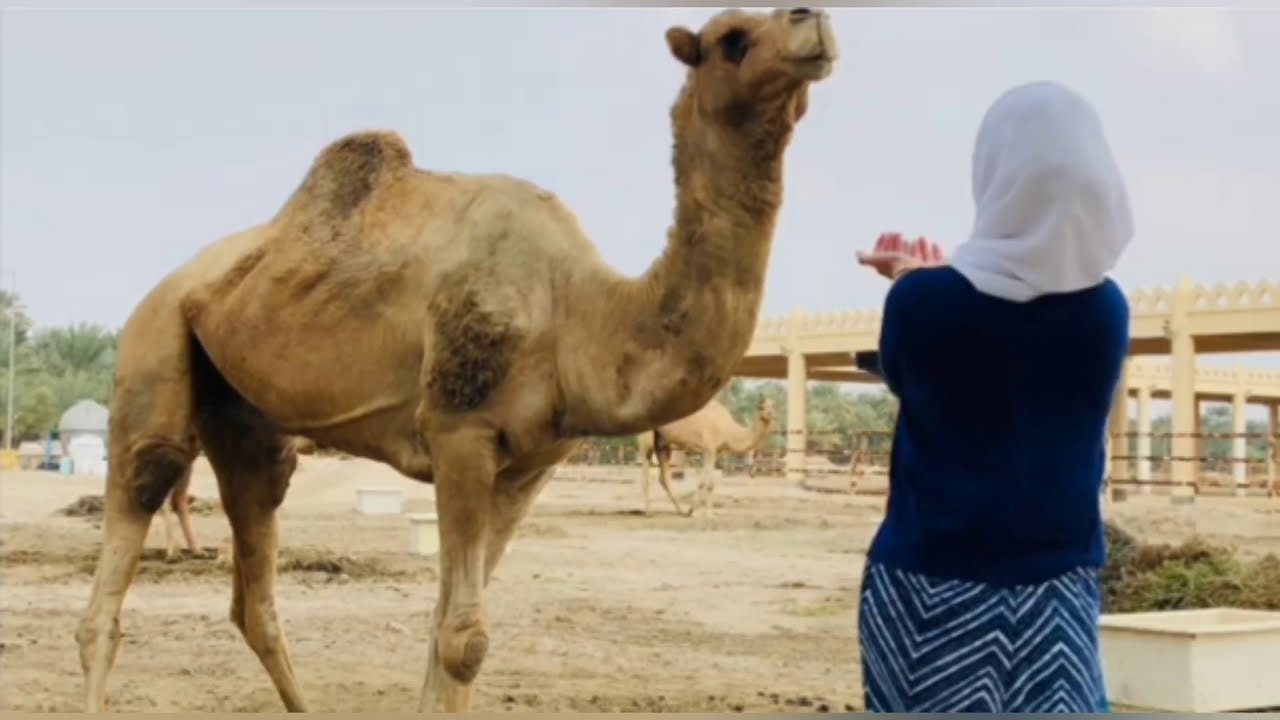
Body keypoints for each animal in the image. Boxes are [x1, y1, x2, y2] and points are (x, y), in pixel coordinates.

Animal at [637, 397, 776, 517]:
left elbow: (709, 484)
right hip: (647, 439)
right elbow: (706, 483)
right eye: (762, 407)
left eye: (773, 406)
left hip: (663, 444)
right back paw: (648, 512)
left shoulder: (714, 452)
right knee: (646, 473)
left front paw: (701, 512)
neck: (727, 428)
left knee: (664, 477)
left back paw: (680, 511)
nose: (770, 415)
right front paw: (701, 512)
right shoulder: (709, 448)